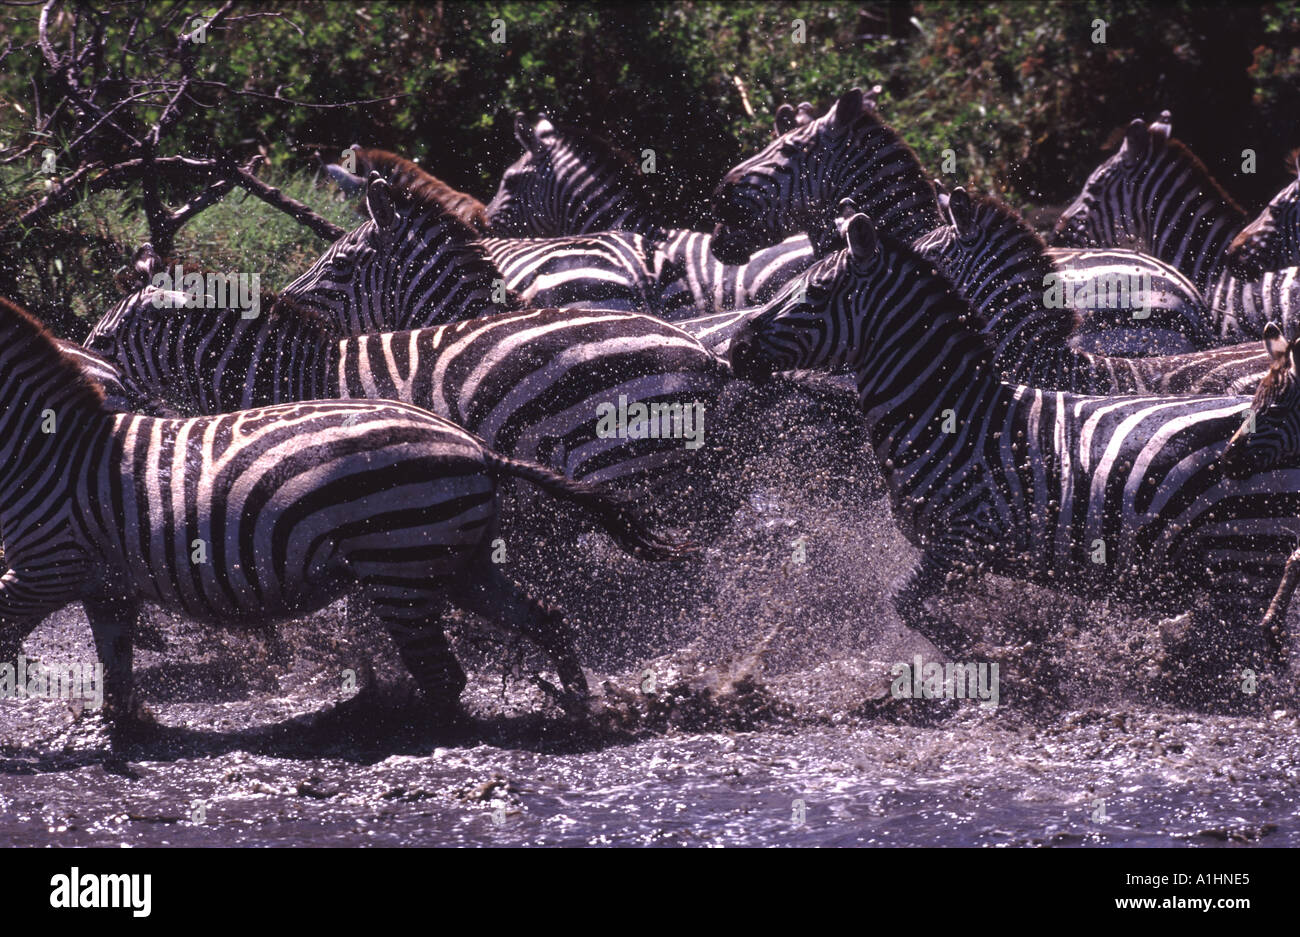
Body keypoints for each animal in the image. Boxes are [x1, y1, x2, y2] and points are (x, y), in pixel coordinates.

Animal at [0, 297, 688, 745]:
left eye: (110, 337)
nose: (106, 368)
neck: (47, 452)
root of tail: (475, 448)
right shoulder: (103, 585)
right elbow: (116, 670)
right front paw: (124, 730)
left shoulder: (47, 567)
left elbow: (9, 638)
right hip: (457, 564)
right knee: (546, 617)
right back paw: (579, 709)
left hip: (400, 566)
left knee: (445, 673)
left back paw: (403, 733)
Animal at [727, 212, 1300, 679]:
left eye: (816, 293)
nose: (734, 347)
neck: (952, 416)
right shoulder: (974, 560)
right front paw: (1016, 647)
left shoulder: (966, 539)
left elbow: (905, 604)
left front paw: (1004, 658)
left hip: (1241, 551)